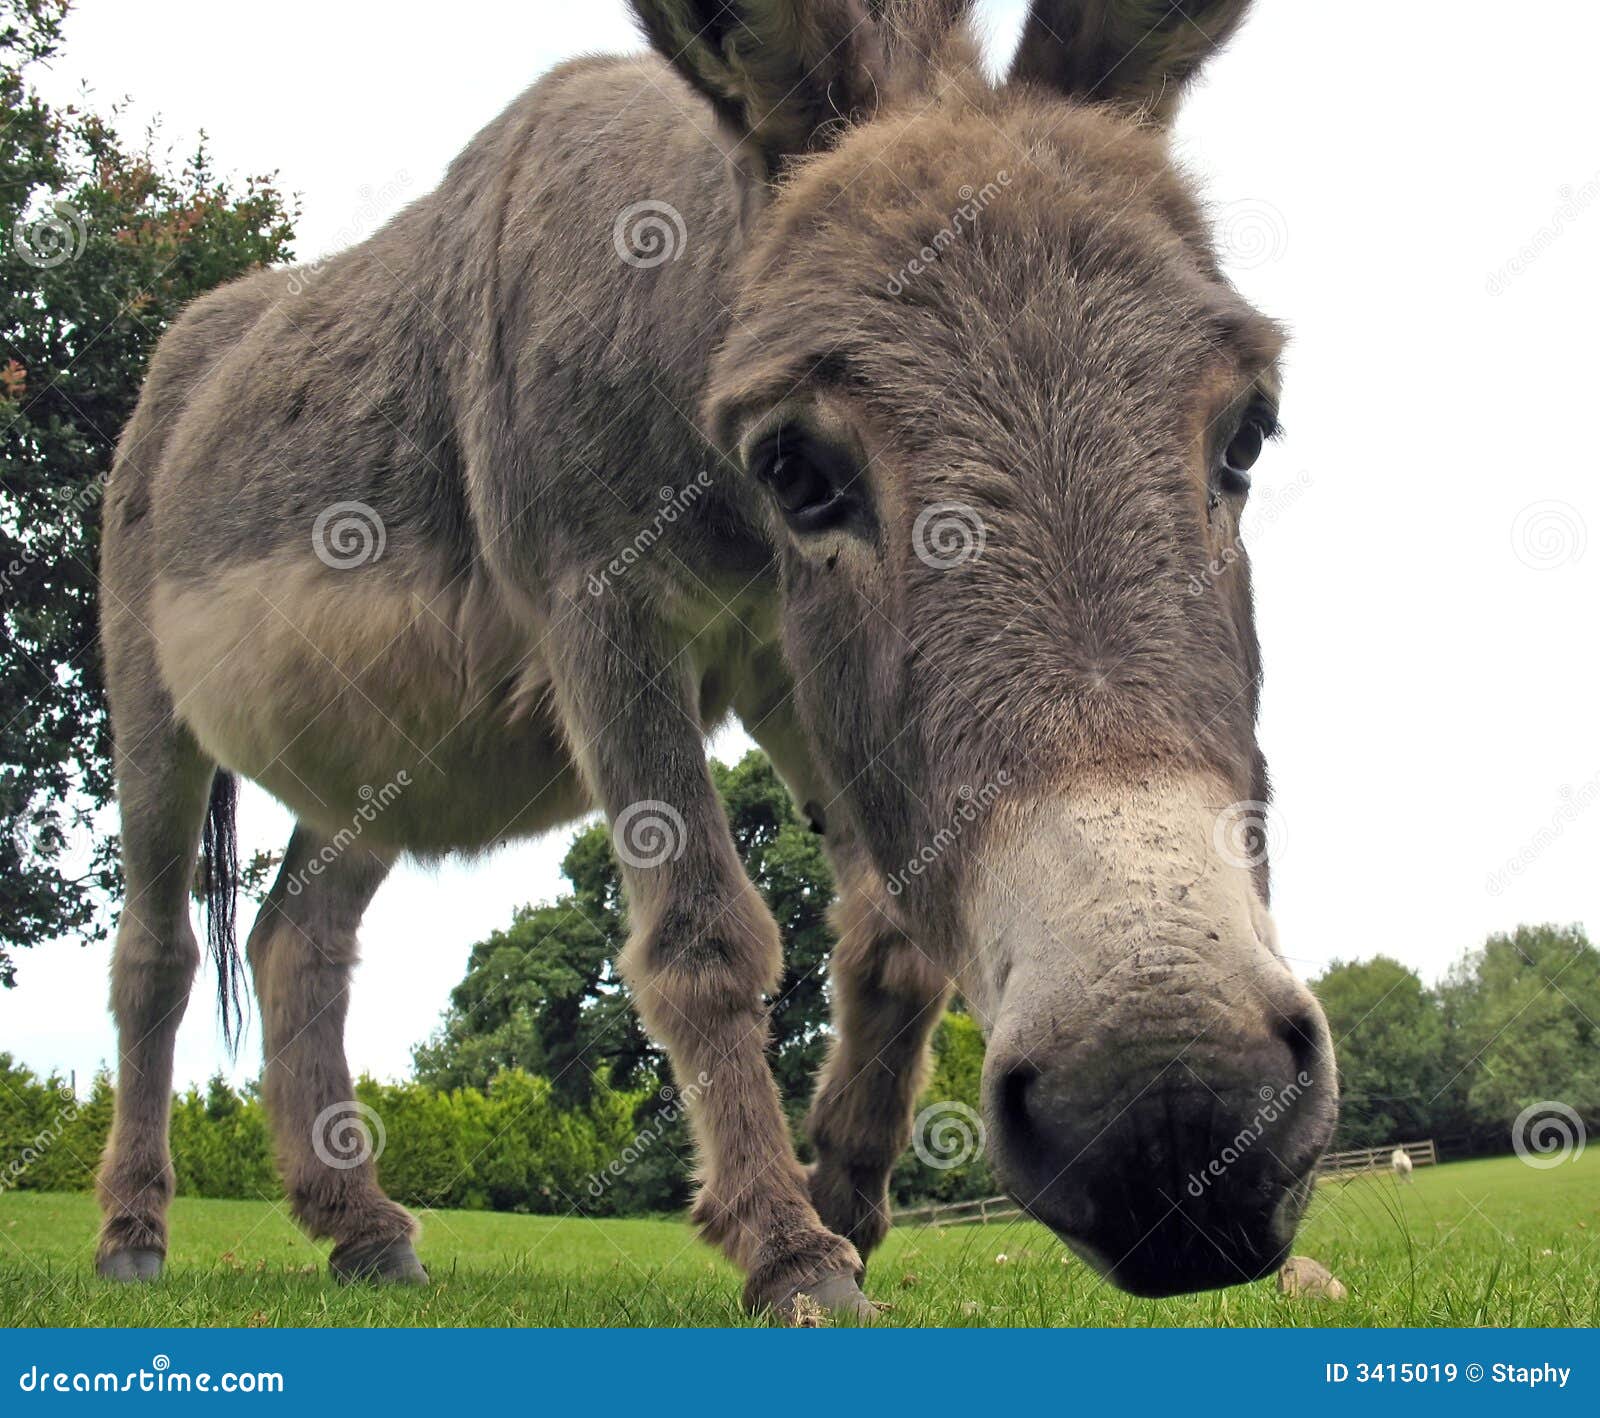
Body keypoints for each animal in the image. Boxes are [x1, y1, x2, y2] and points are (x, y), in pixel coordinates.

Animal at [92, 0, 1337, 1321]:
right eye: (796, 469)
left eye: (1247, 433)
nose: (1170, 1110)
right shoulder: (604, 614)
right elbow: (702, 932)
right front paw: (788, 1248)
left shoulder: (785, 664)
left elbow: (892, 929)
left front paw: (845, 1201)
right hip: (148, 703)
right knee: (158, 956)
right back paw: (132, 1233)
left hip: (379, 767)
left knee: (296, 941)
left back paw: (360, 1227)